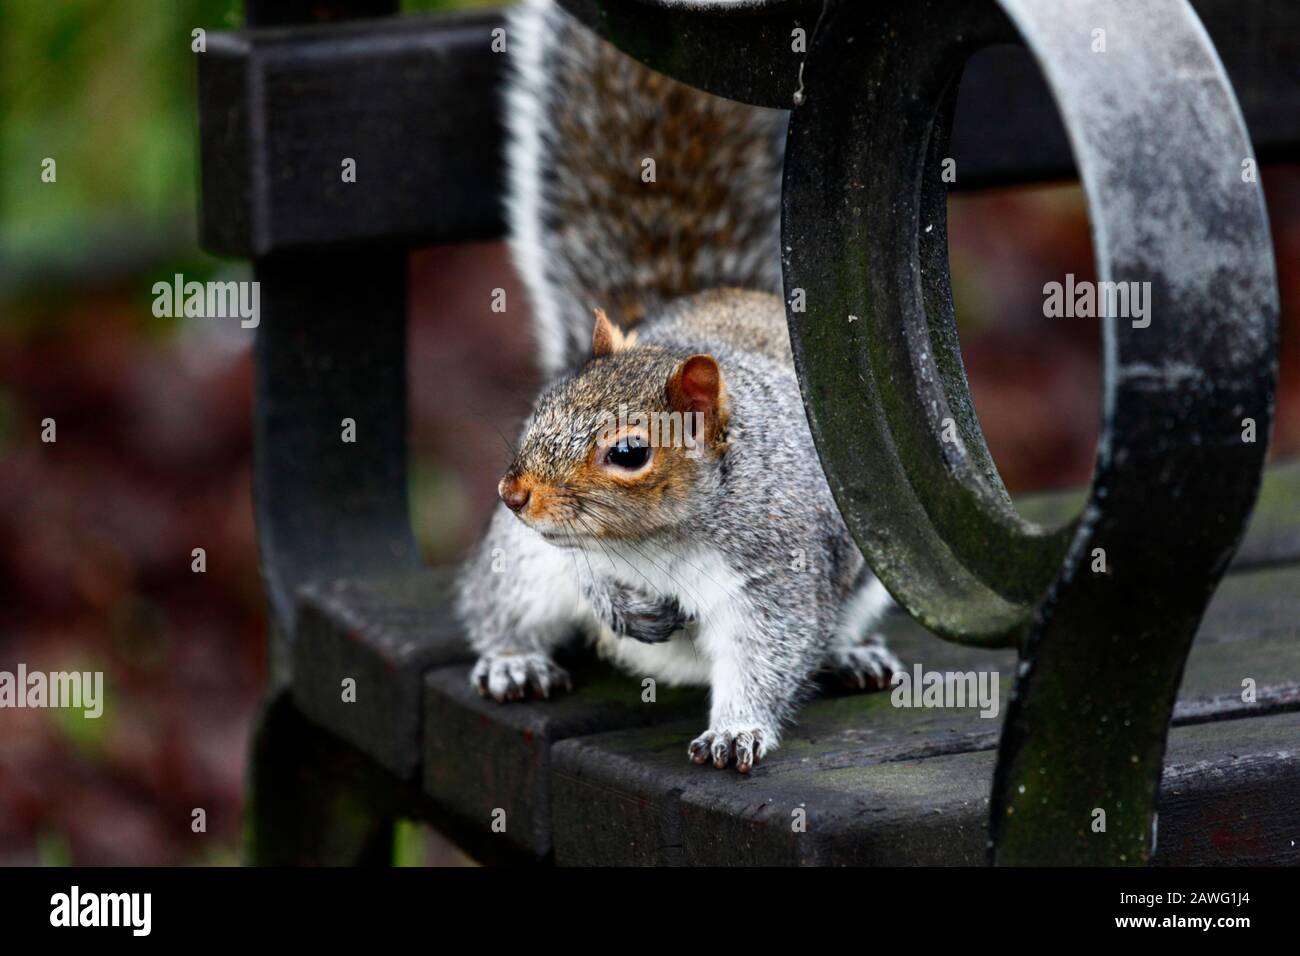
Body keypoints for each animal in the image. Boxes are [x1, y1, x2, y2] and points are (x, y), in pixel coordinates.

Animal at [456, 0, 900, 773]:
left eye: (630, 454)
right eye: (542, 407)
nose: (513, 495)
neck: (654, 543)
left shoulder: (776, 576)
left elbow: (768, 654)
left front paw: (737, 731)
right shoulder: (564, 549)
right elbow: (586, 576)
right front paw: (627, 611)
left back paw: (851, 654)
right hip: (520, 566)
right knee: (499, 609)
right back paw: (515, 660)